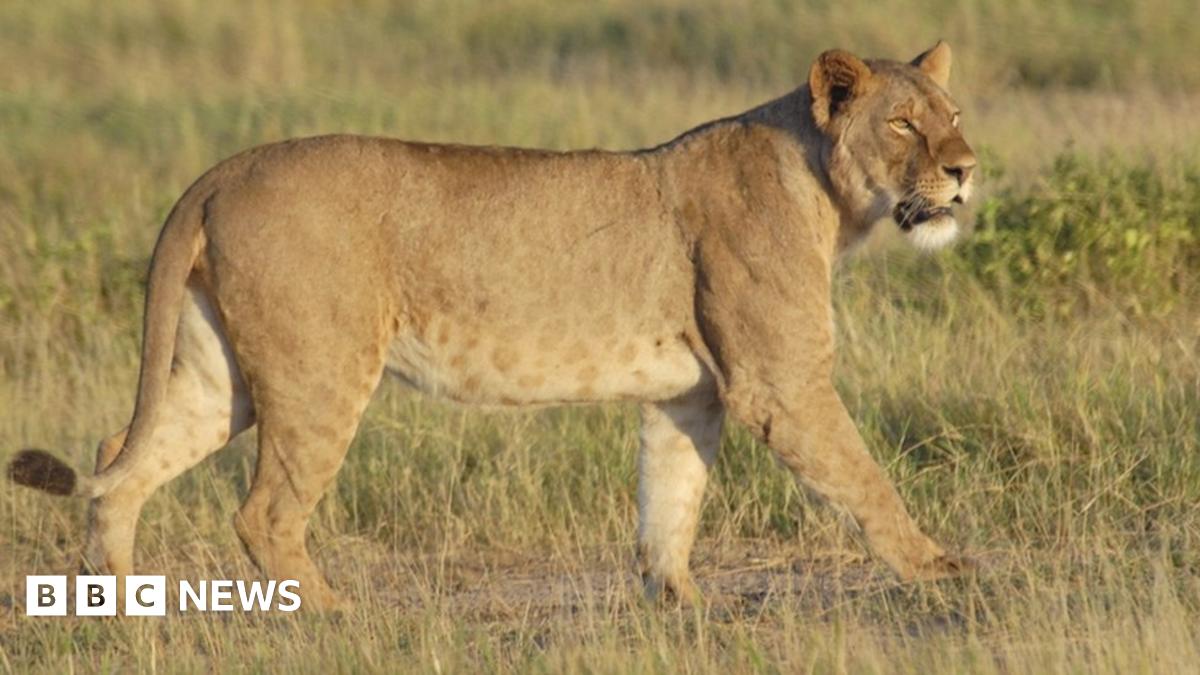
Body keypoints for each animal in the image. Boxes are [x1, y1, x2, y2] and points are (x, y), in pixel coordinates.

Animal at [9, 42, 977, 610]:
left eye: (954, 116)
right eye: (903, 123)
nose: (967, 170)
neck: (827, 196)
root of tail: (225, 167)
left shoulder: (689, 394)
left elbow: (670, 500)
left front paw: (684, 604)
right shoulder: (781, 383)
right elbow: (864, 478)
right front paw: (936, 568)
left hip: (227, 374)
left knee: (117, 458)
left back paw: (119, 614)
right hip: (321, 369)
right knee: (264, 512)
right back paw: (332, 617)